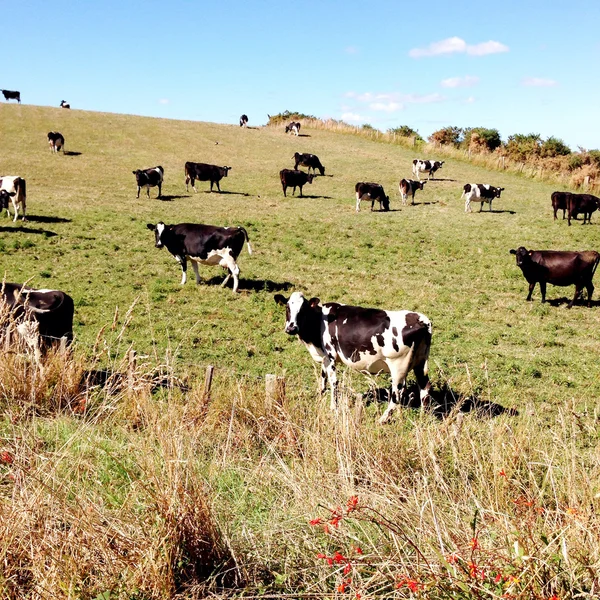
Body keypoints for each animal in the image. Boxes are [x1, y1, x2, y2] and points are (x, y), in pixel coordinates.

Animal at [274, 292, 434, 424]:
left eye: (303, 310)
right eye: (287, 308)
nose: (291, 328)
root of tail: (421, 320)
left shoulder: (330, 355)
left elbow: (334, 382)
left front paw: (333, 407)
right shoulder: (324, 356)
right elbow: (323, 376)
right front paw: (320, 393)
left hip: (398, 366)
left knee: (398, 393)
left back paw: (382, 419)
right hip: (420, 363)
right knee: (424, 388)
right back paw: (423, 417)